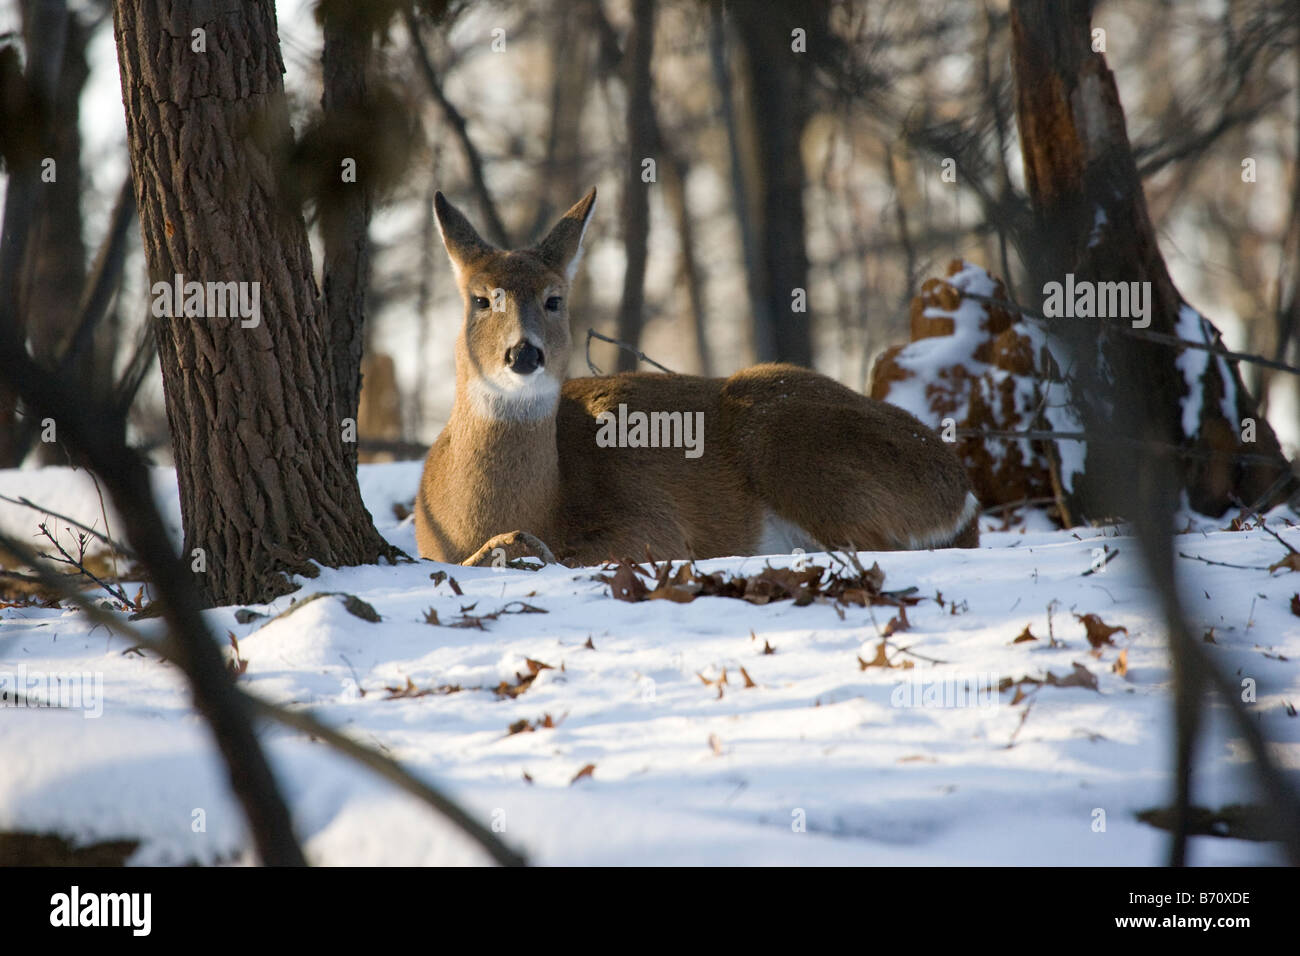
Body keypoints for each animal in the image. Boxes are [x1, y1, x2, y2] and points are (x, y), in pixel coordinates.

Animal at [414, 189, 980, 567]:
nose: (524, 353)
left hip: (798, 447)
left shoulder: (651, 527)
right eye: (481, 299)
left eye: (554, 299)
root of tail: (962, 494)